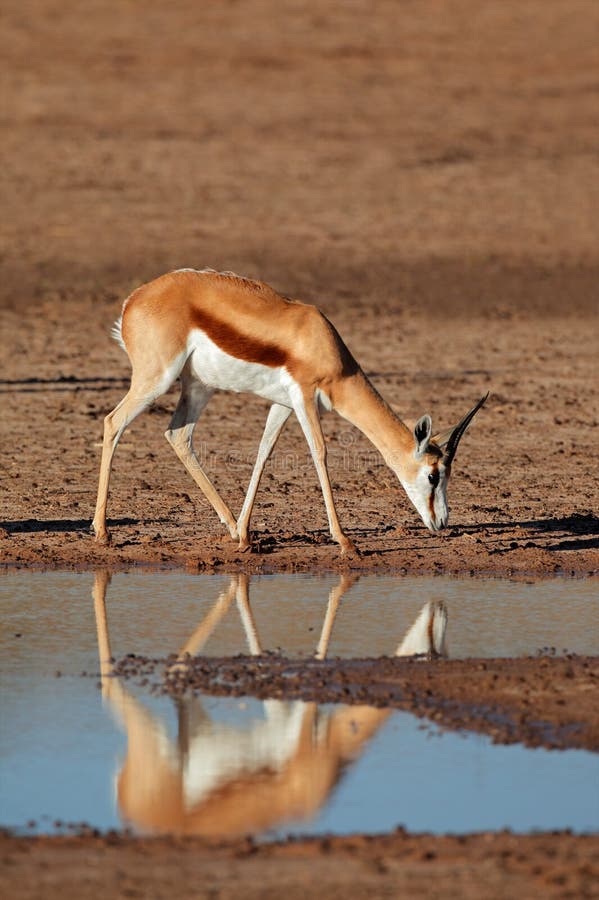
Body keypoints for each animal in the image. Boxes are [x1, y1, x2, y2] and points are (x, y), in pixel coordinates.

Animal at [92, 268, 488, 553]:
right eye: (433, 475)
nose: (442, 522)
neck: (319, 343)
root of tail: (133, 301)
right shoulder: (303, 397)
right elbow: (320, 453)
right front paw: (346, 542)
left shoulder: (282, 404)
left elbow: (264, 452)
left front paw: (246, 535)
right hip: (156, 380)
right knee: (113, 422)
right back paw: (103, 533)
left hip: (198, 386)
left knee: (177, 434)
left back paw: (230, 527)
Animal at [93, 571, 447, 836]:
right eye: (435, 649)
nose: (441, 610)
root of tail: (124, 801)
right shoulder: (302, 726)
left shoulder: (283, 717)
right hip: (156, 742)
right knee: (114, 691)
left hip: (191, 727)